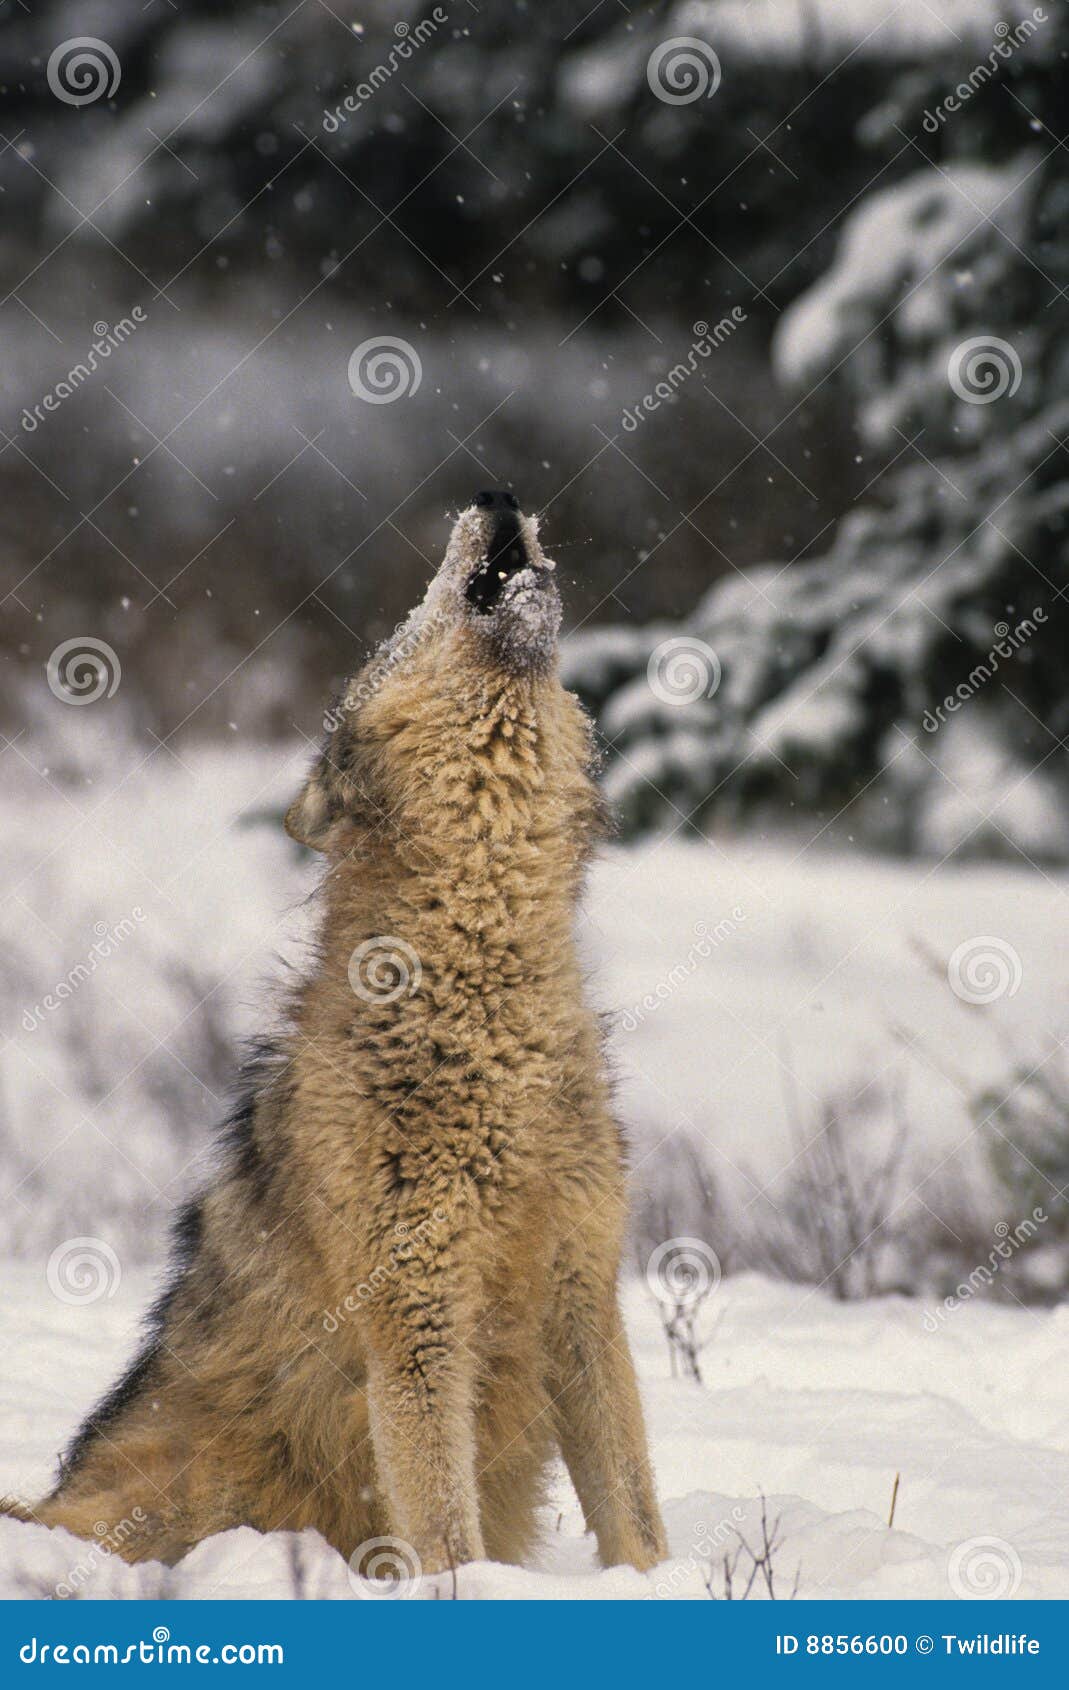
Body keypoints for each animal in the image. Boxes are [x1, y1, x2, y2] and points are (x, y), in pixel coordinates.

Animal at [6, 493, 667, 1579]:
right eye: (403, 627)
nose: (494, 496)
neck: (488, 1010)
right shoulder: (415, 1316)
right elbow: (445, 1532)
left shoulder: (583, 1288)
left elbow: (637, 1519)